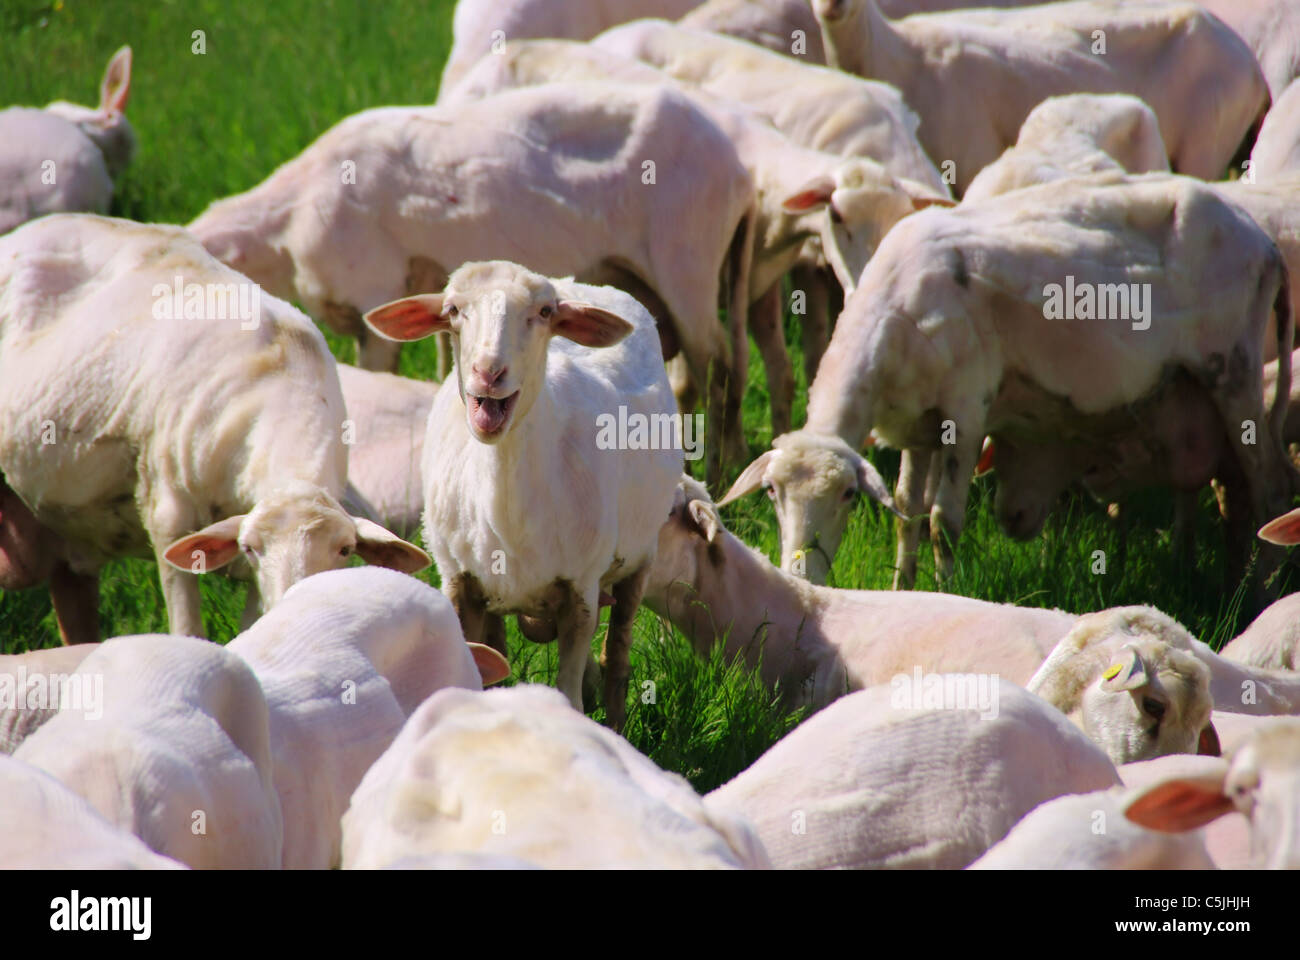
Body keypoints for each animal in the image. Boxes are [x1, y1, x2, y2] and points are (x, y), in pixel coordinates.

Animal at [187, 84, 754, 481]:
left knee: (719, 363)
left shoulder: (373, 290)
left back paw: (722, 466)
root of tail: (740, 170)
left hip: (687, 258)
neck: (287, 222)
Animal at [363, 261, 682, 730]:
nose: (488, 373)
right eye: (452, 310)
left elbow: (572, 695)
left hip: (640, 559)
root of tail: (580, 284)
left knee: (617, 655)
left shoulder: (580, 591)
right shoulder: (459, 582)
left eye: (545, 312)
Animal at [722, 173, 1295, 591]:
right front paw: (902, 591)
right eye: (770, 491)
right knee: (1233, 494)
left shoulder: (965, 411)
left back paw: (1259, 592)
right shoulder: (915, 426)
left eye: (846, 495)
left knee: (1269, 488)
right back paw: (1229, 579)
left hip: (1234, 370)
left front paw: (944, 593)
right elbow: (907, 512)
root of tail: (1262, 241)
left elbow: (943, 523)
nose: (802, 577)